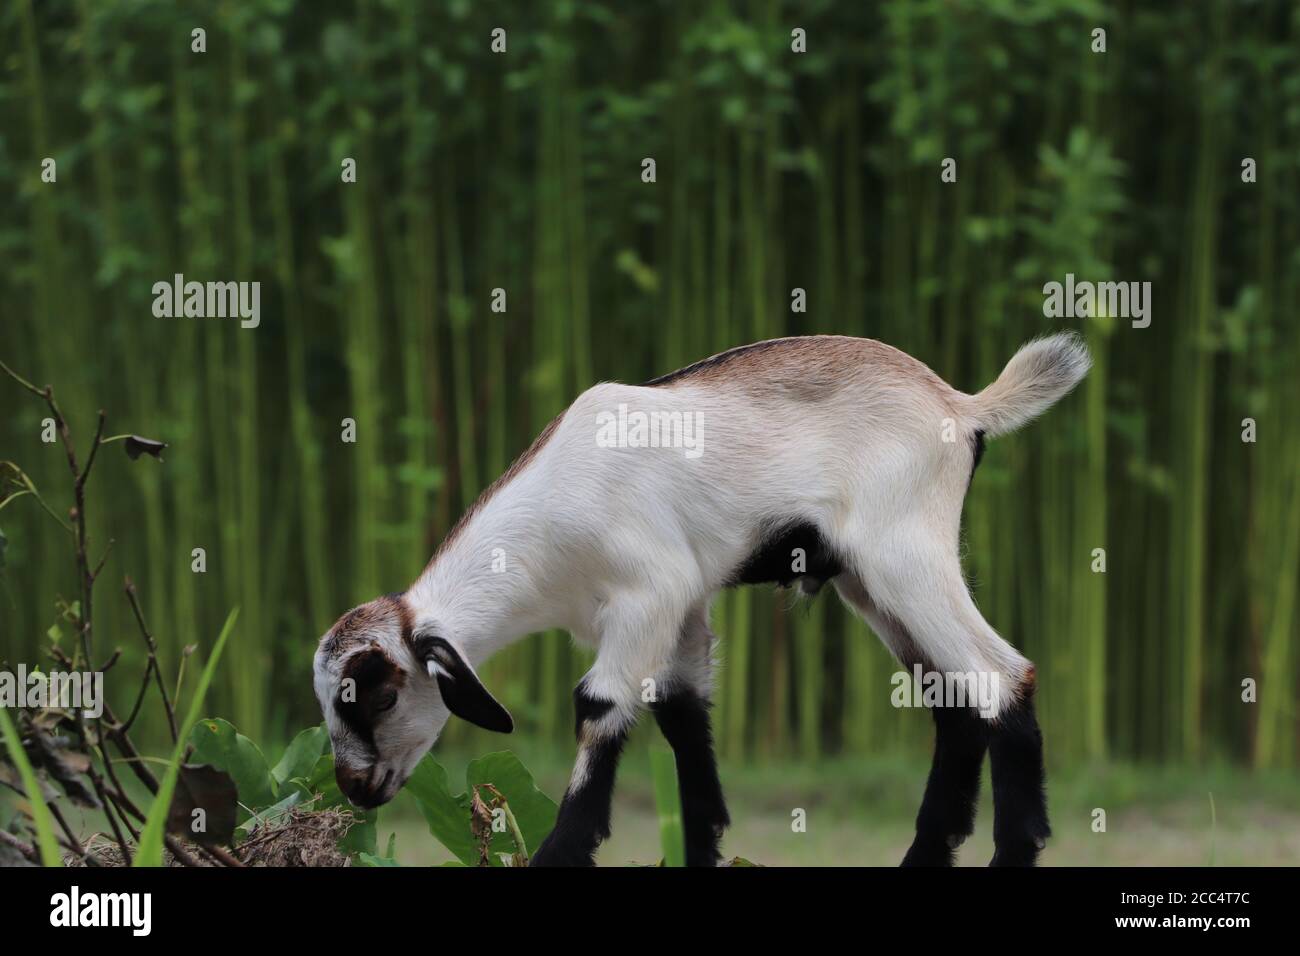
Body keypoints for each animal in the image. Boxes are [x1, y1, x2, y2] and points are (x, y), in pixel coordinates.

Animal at [312, 332, 1090, 866]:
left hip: (906, 556)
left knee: (1001, 676)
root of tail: (960, 402)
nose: (354, 787)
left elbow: (599, 706)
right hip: (869, 583)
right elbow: (682, 716)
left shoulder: (648, 595)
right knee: (953, 699)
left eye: (379, 695)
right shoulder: (682, 609)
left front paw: (563, 851)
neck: (551, 517)